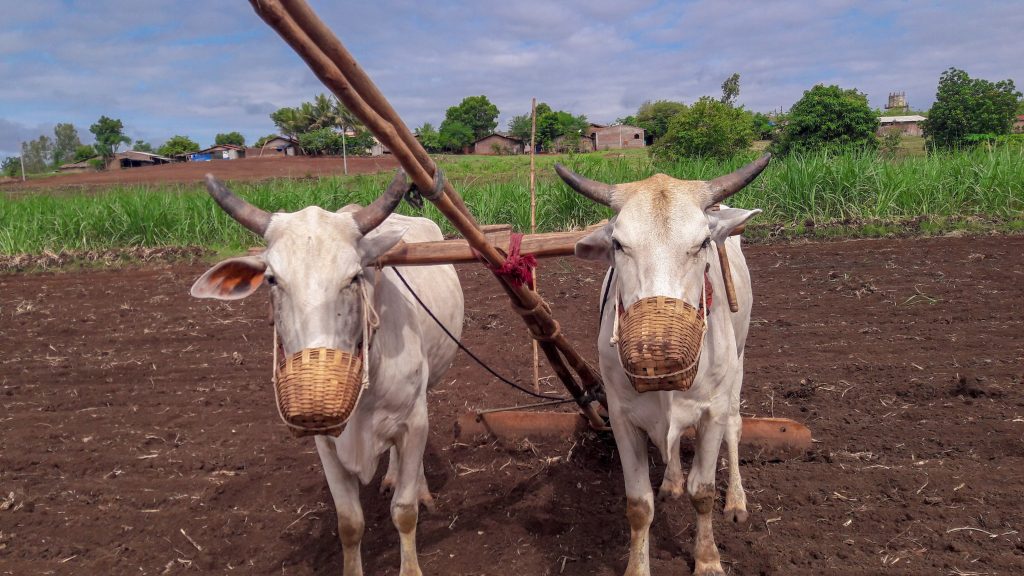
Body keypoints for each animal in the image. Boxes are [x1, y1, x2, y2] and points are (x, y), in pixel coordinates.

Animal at [189, 170, 464, 576]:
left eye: (354, 277)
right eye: (271, 279)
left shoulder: (414, 421)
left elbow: (404, 511)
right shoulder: (326, 443)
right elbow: (349, 522)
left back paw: (415, 483)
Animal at [554, 155, 770, 576]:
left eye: (702, 243)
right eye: (618, 244)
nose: (656, 348)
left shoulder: (712, 410)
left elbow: (703, 492)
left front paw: (708, 559)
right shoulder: (621, 416)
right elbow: (639, 505)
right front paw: (638, 566)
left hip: (739, 365)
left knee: (735, 428)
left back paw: (737, 501)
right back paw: (671, 483)